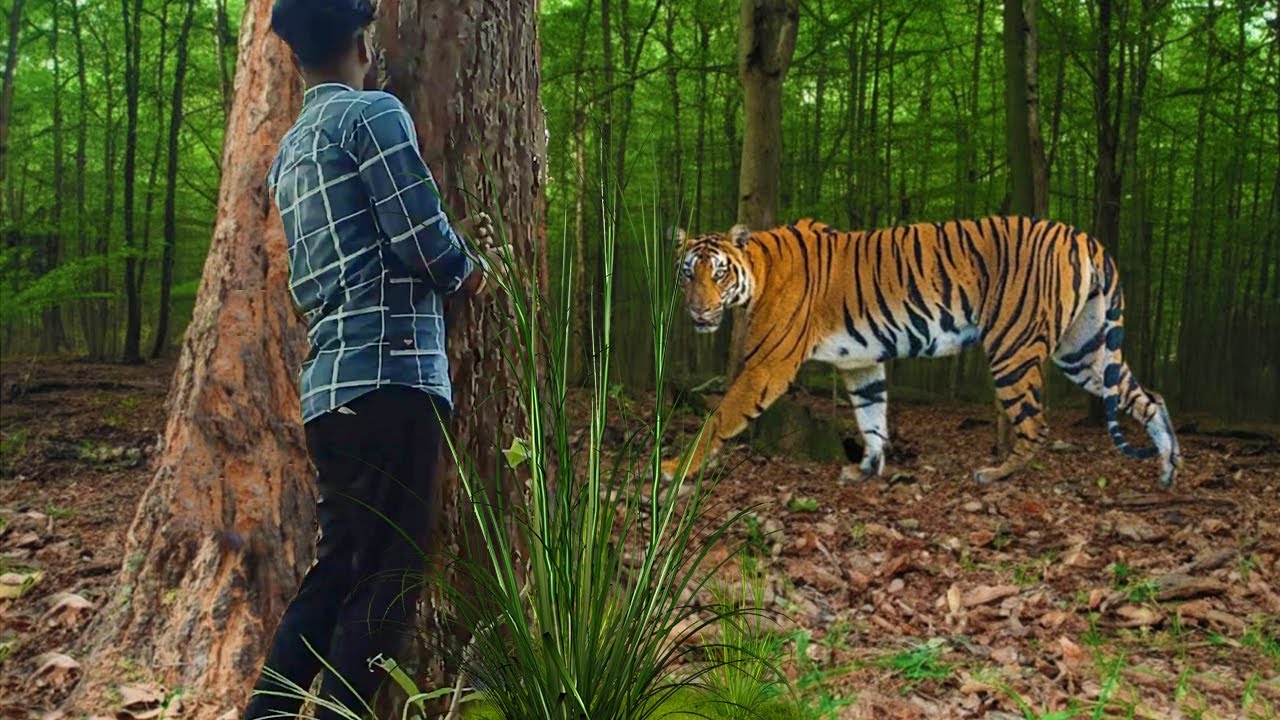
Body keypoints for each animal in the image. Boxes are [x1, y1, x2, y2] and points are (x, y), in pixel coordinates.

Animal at [660, 216, 1183, 489]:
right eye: (687, 273)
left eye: (718, 273)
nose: (699, 309)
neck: (759, 271)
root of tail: (1085, 236)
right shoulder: (861, 361)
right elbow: (872, 417)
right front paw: (867, 469)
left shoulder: (769, 364)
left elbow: (720, 416)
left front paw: (674, 469)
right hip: (1084, 348)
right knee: (1149, 398)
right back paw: (1169, 467)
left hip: (1013, 346)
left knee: (1035, 425)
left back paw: (995, 474)